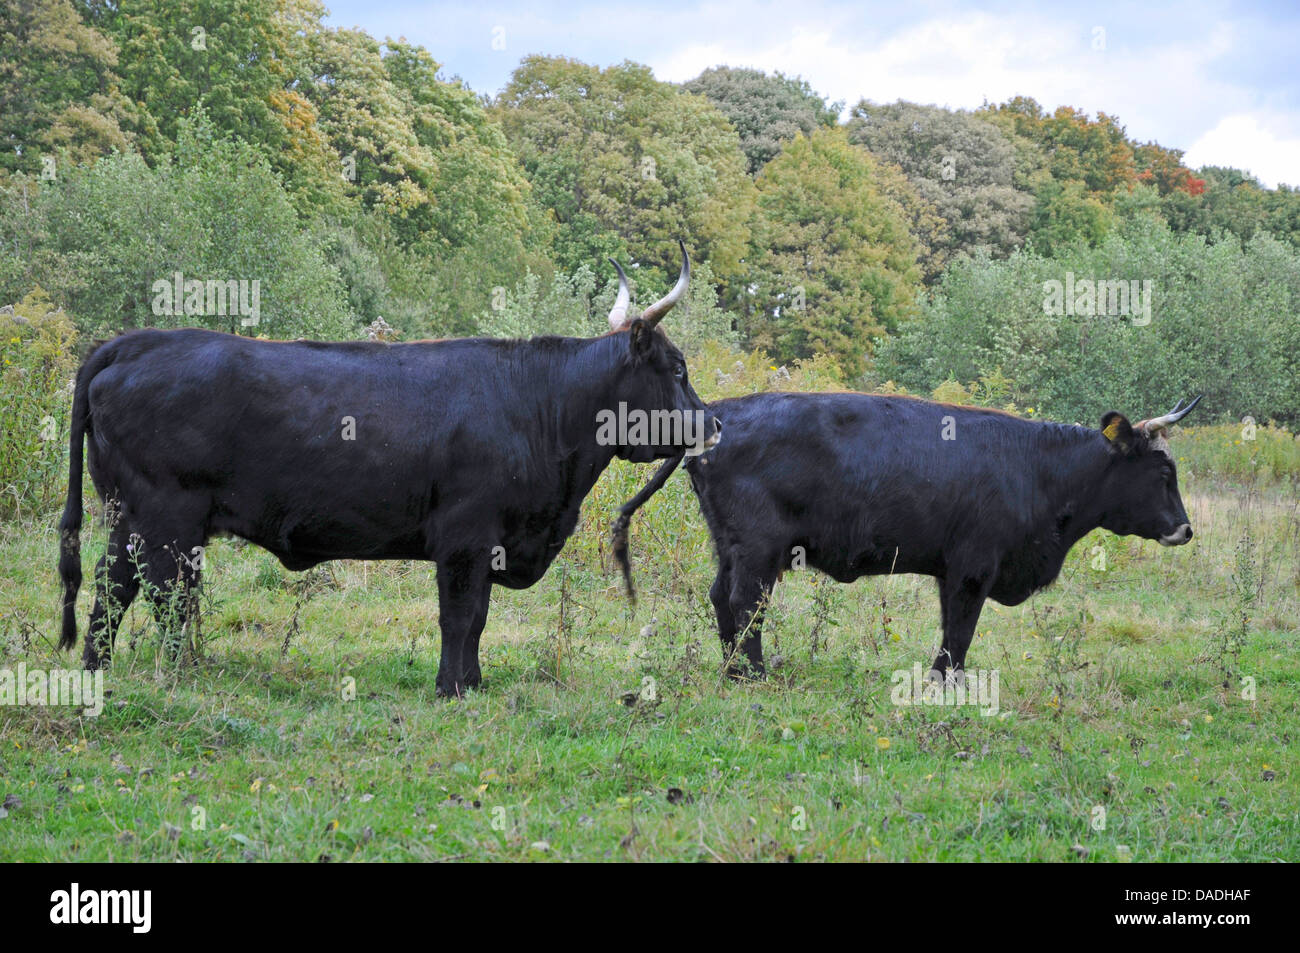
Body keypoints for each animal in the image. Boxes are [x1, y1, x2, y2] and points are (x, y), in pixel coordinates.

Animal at [57, 243, 720, 697]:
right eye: (677, 367)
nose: (713, 424)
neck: (541, 406)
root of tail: (133, 343)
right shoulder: (465, 538)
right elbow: (461, 616)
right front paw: (452, 688)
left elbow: (478, 621)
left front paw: (473, 683)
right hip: (167, 516)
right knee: (162, 594)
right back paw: (179, 672)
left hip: (129, 516)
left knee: (111, 588)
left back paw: (96, 671)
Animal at [615, 392, 1199, 682]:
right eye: (1162, 471)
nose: (1185, 528)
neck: (1039, 469)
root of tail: (718, 414)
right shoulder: (973, 568)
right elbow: (960, 632)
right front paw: (948, 683)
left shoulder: (953, 570)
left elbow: (952, 629)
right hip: (760, 548)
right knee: (745, 602)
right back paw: (753, 674)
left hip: (731, 545)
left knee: (721, 598)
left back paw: (732, 669)